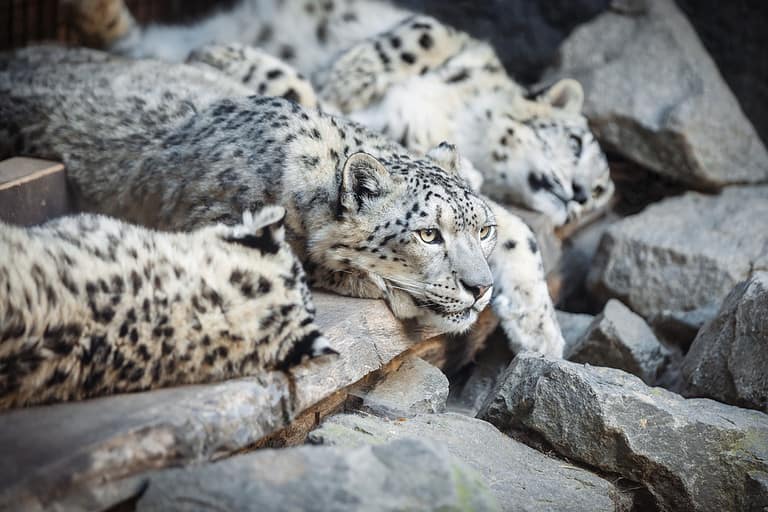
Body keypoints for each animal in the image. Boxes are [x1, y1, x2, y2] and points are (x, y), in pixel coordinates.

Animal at [67, 0, 615, 226]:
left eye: (597, 200)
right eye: (576, 143)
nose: (578, 196)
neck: (461, 120)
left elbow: (305, 93)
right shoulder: (457, 40)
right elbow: (423, 33)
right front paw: (350, 75)